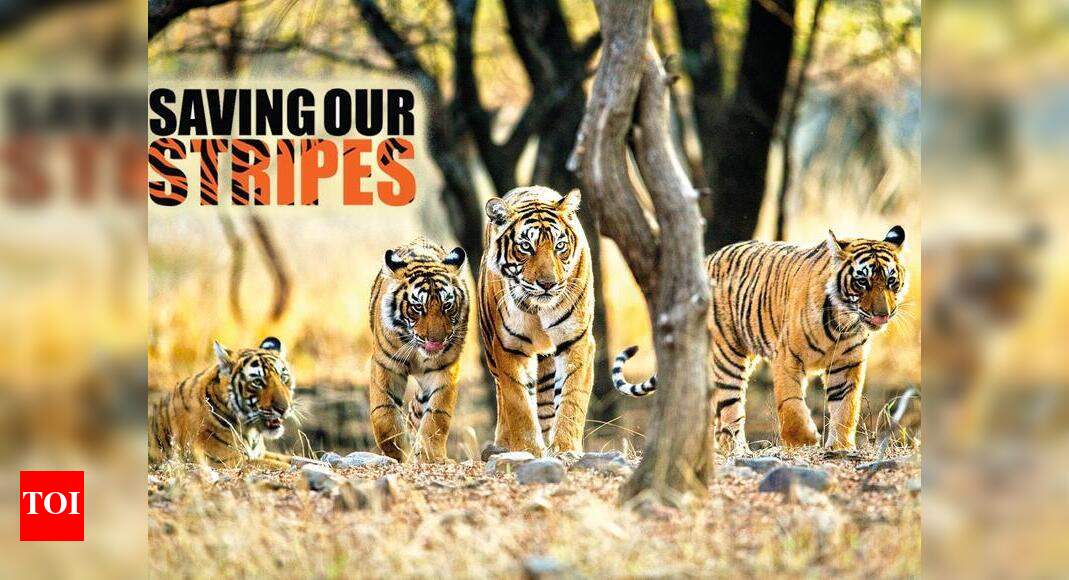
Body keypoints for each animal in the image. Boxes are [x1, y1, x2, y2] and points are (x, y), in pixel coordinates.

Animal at [149, 337, 297, 468]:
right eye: (257, 382)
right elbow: (281, 465)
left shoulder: (260, 454)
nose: (284, 409)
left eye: (283, 377)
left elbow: (293, 459)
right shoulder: (227, 460)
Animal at [367, 238, 469, 462]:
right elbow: (384, 415)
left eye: (447, 305)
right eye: (417, 307)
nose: (436, 341)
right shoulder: (385, 365)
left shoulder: (445, 369)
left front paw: (430, 456)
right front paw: (398, 454)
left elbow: (437, 416)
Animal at [479, 185, 655, 456]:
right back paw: (503, 443)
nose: (548, 284)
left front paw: (565, 448)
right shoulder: (509, 347)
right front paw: (529, 450)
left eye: (559, 246)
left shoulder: (576, 340)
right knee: (504, 396)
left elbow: (572, 398)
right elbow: (518, 404)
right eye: (526, 247)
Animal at [706, 226, 909, 453]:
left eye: (891, 281)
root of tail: (708, 258)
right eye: (862, 282)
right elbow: (791, 404)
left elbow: (846, 407)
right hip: (727, 356)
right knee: (729, 409)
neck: (843, 322)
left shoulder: (846, 364)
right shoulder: (787, 358)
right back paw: (739, 450)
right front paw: (804, 441)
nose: (883, 315)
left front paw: (840, 446)